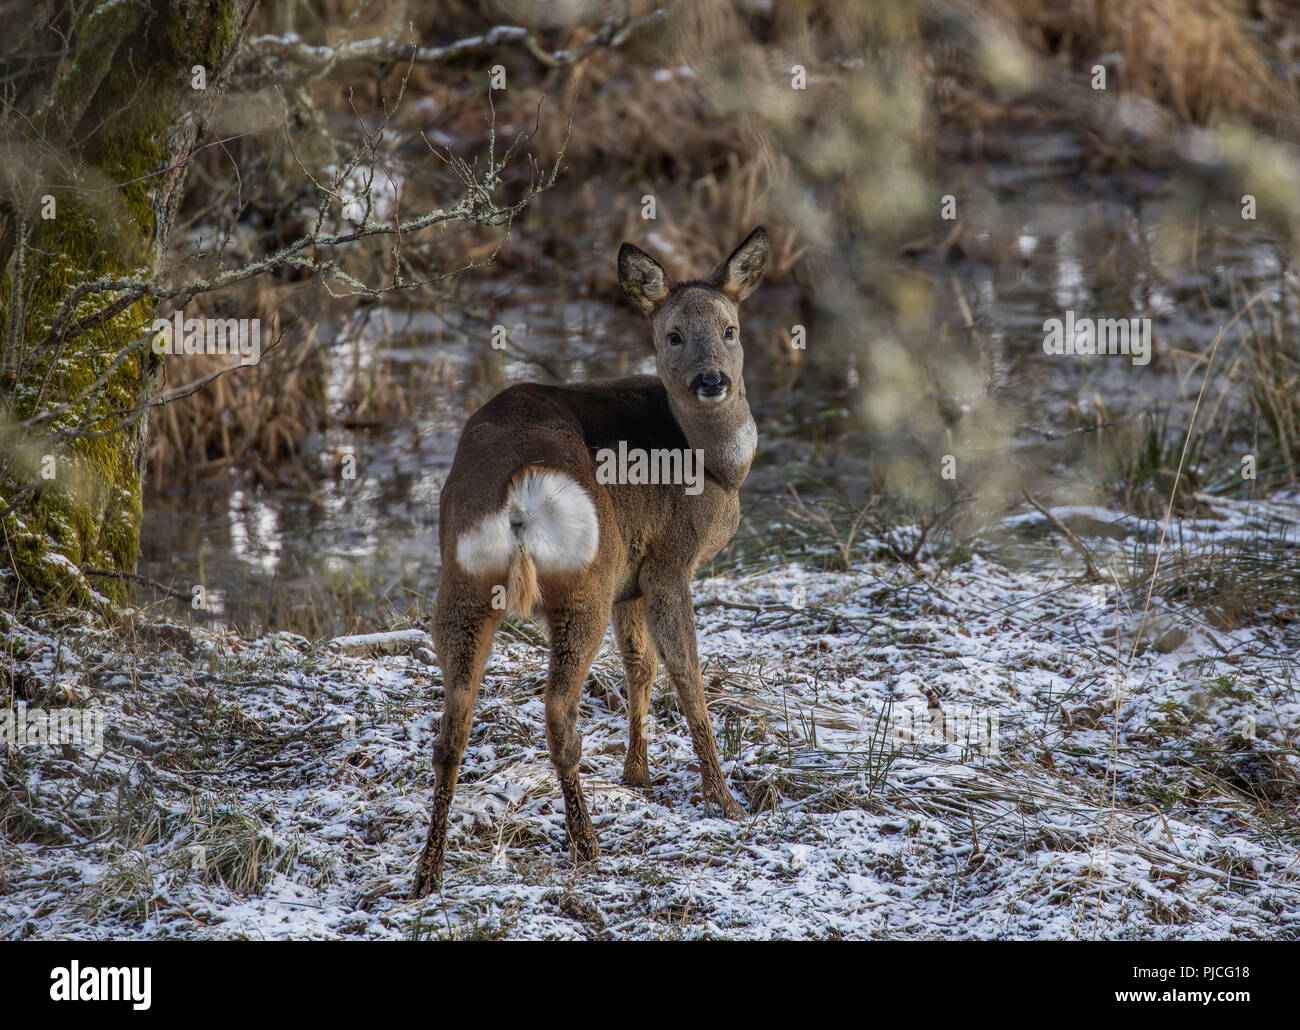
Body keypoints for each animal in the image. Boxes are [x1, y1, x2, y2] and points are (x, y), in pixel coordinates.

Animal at [412, 226, 769, 897]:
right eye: (672, 334)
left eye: (730, 328)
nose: (712, 380)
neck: (716, 467)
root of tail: (518, 489)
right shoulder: (667, 561)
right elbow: (686, 674)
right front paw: (725, 799)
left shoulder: (632, 574)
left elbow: (639, 667)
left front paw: (637, 775)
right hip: (584, 583)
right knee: (558, 712)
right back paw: (586, 844)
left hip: (464, 578)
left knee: (451, 726)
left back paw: (428, 872)